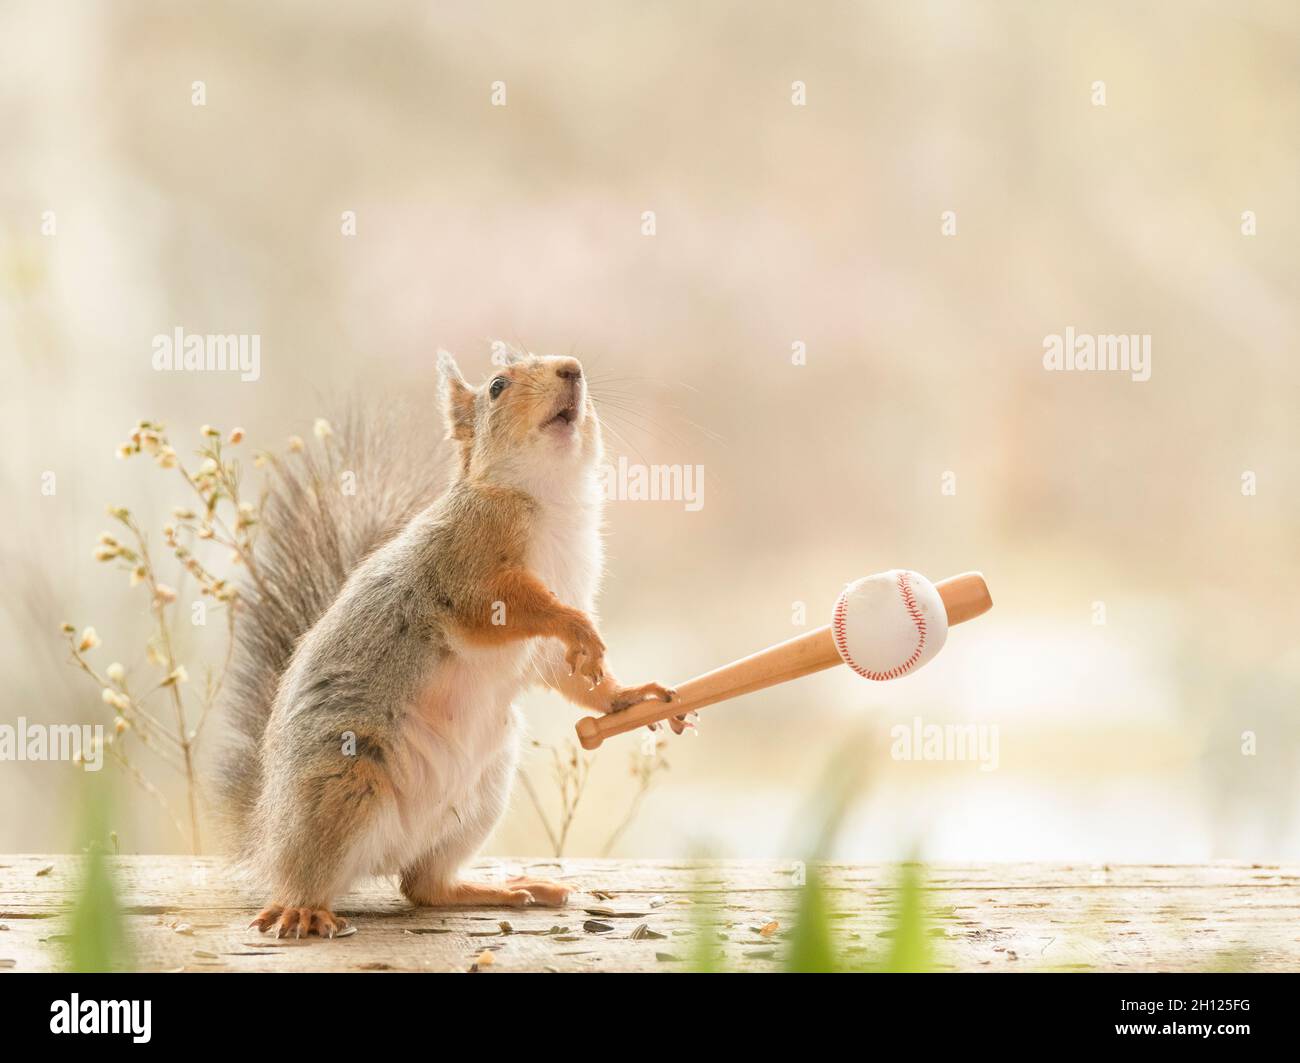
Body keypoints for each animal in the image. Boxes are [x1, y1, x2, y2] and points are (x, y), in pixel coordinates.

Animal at [217, 348, 680, 937]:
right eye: (498, 386)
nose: (573, 369)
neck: (554, 499)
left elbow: (564, 671)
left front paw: (626, 697)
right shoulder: (465, 565)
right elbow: (501, 608)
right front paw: (578, 627)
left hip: (481, 796)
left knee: (424, 887)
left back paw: (500, 889)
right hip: (343, 784)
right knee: (309, 868)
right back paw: (302, 907)